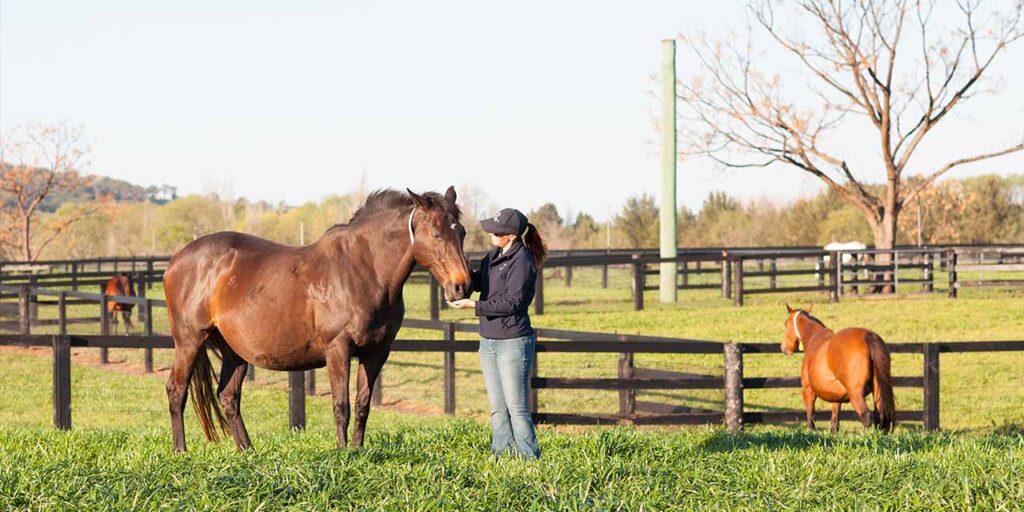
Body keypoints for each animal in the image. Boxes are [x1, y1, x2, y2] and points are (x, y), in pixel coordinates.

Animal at [163, 187, 472, 452]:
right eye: (436, 234)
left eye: (462, 232)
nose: (462, 287)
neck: (363, 270)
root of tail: (176, 260)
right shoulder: (338, 348)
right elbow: (341, 405)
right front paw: (342, 453)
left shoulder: (376, 352)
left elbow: (363, 405)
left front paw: (357, 450)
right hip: (189, 341)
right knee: (177, 390)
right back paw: (181, 451)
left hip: (233, 351)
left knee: (228, 397)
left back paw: (248, 451)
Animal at [781, 304, 895, 433]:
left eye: (786, 323)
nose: (784, 347)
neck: (814, 339)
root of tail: (868, 335)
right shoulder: (836, 397)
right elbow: (834, 423)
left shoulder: (808, 391)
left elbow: (811, 418)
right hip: (877, 392)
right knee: (880, 418)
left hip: (855, 394)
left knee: (866, 417)